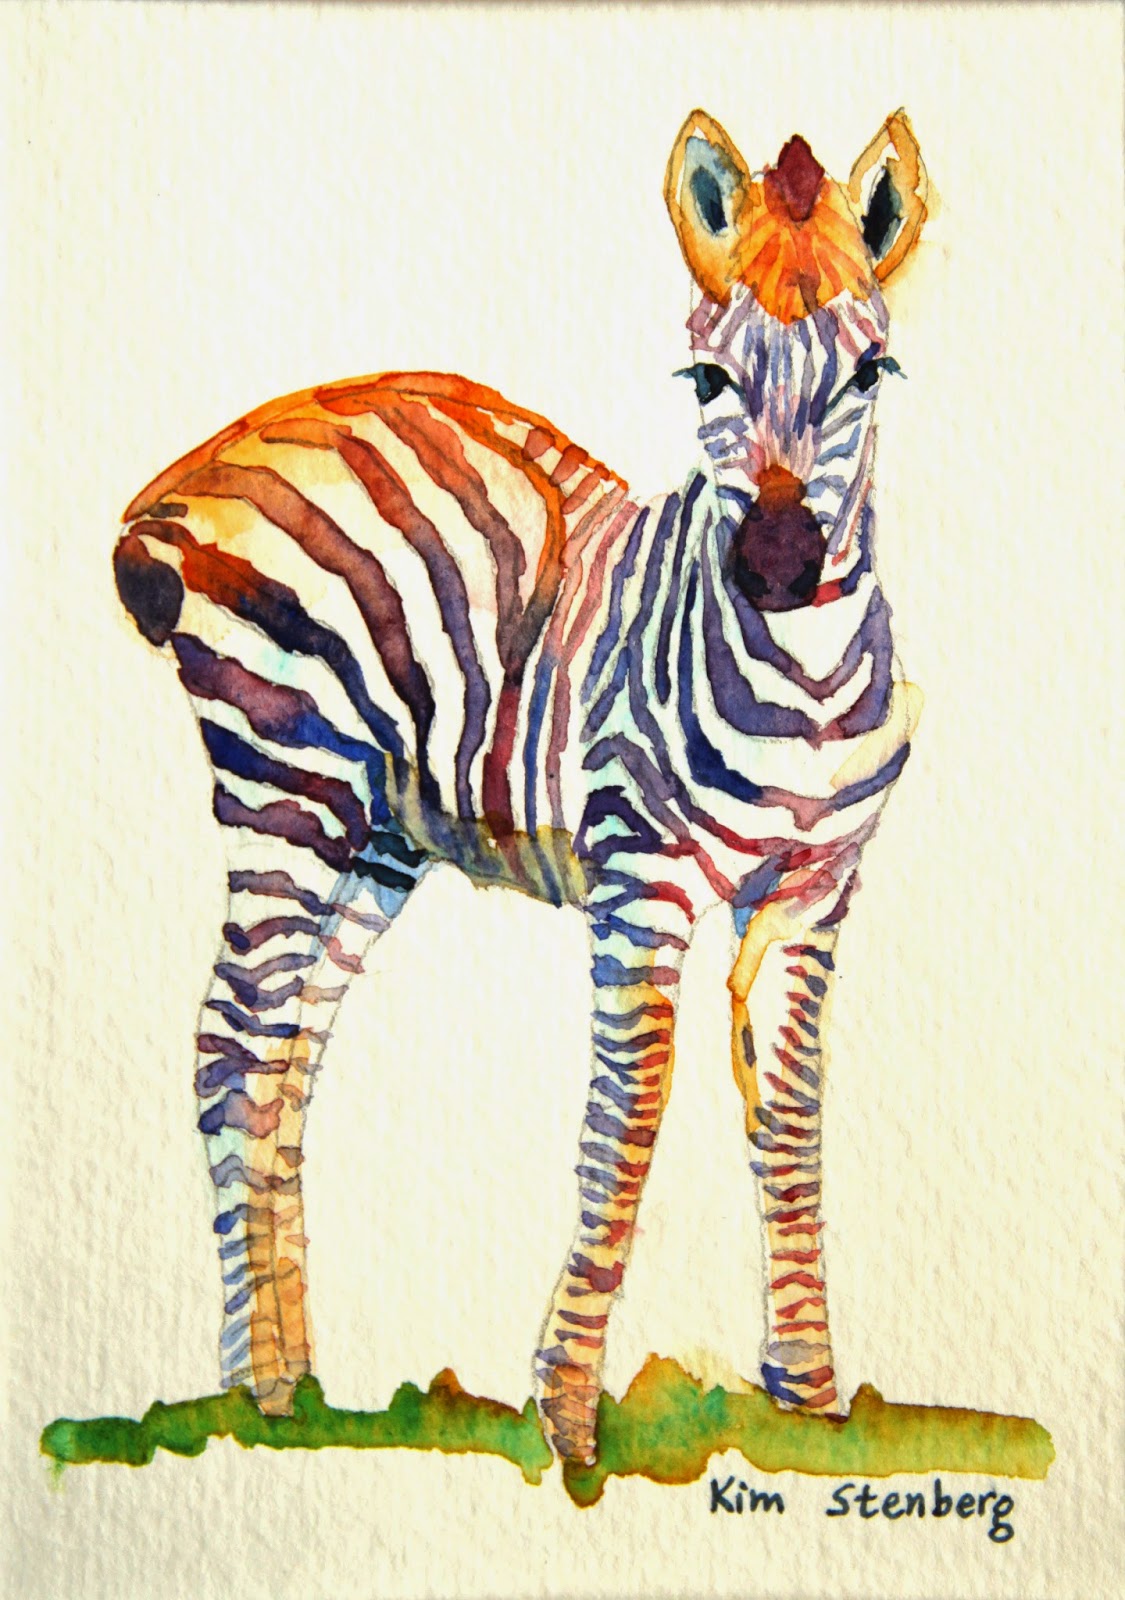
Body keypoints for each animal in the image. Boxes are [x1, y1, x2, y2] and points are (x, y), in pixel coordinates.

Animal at [113, 108, 929, 1467]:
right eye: (704, 381)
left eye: (873, 373)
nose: (775, 565)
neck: (802, 682)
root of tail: (185, 484)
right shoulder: (642, 882)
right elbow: (629, 1114)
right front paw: (567, 1413)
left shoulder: (815, 890)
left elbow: (792, 1117)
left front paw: (809, 1398)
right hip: (288, 784)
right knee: (231, 1042)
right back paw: (254, 1394)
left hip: (374, 838)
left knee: (286, 1056)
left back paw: (296, 1387)